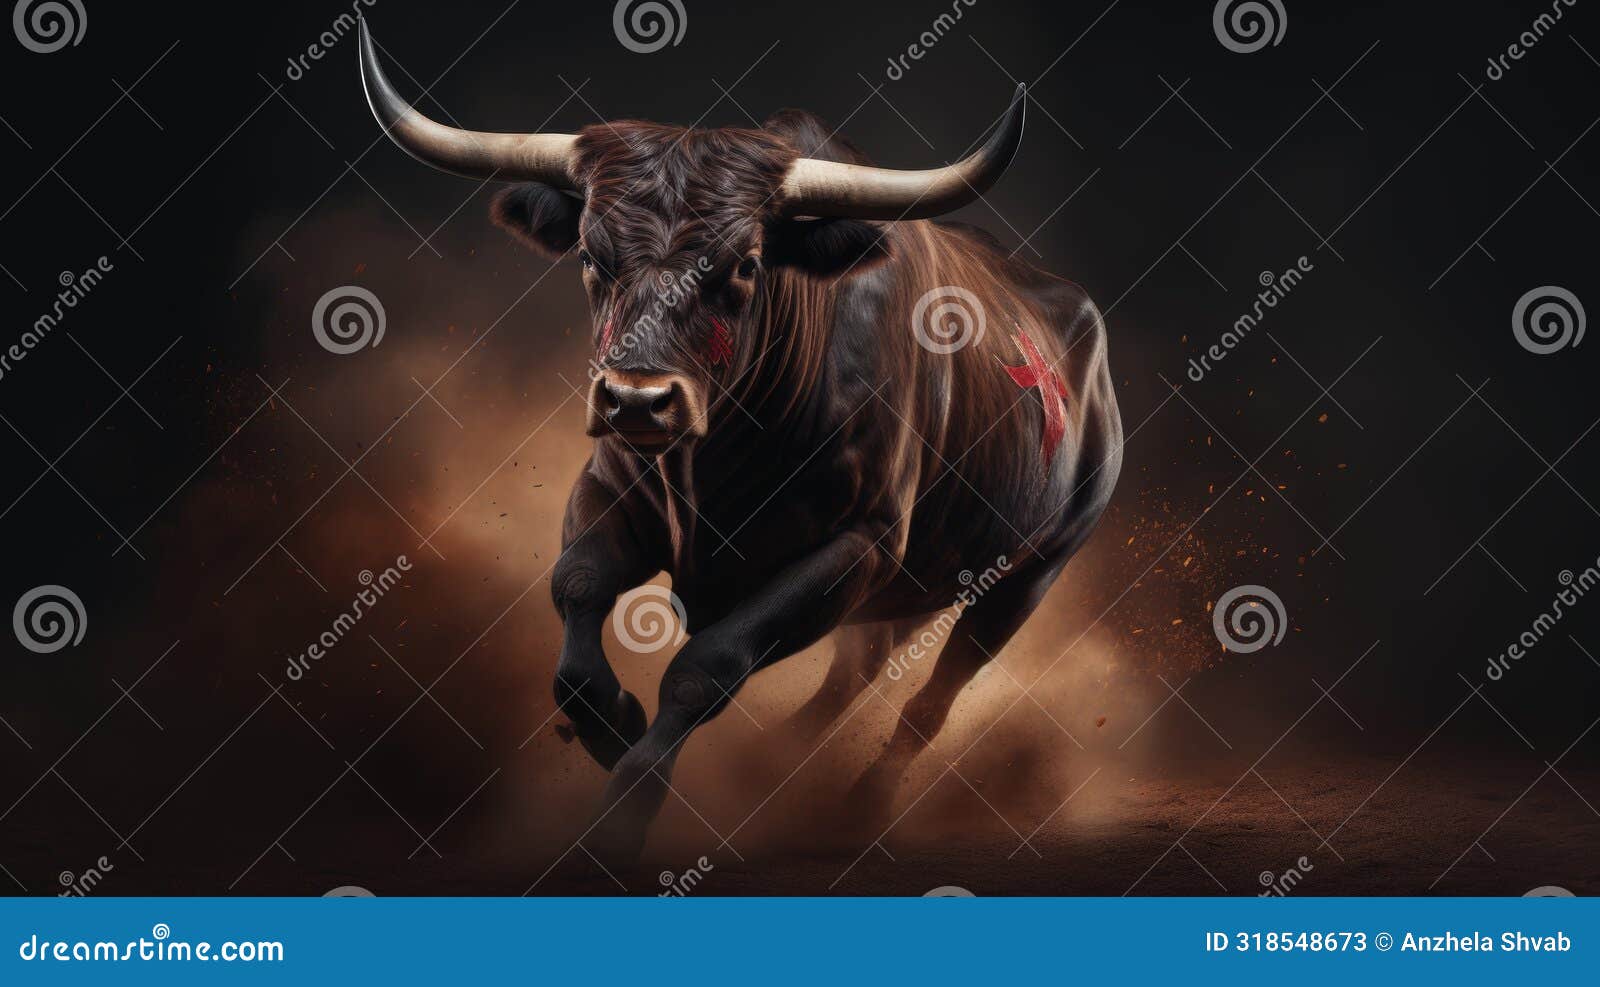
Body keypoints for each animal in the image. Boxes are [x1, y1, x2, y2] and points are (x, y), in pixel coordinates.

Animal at [359, 21, 1122, 862]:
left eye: (746, 264)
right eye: (591, 256)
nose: (637, 399)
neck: (713, 462)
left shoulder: (856, 545)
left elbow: (708, 666)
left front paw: (625, 809)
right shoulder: (609, 488)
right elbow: (576, 594)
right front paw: (615, 723)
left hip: (1028, 575)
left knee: (933, 695)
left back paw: (858, 803)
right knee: (858, 670)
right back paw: (778, 764)